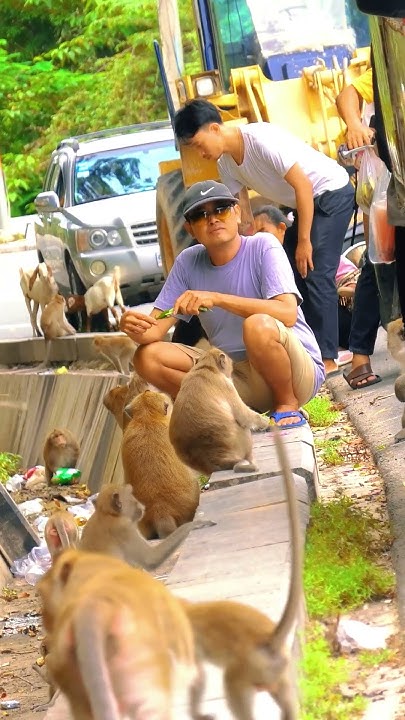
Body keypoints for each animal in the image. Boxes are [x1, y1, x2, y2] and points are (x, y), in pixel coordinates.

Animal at [79, 483, 213, 570]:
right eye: (133, 500)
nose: (141, 506)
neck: (107, 514)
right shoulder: (124, 529)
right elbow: (151, 558)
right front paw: (195, 523)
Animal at [181, 427, 302, 720]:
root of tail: (268, 640)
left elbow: (197, 677)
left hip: (246, 670)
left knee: (233, 685)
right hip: (277, 670)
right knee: (286, 699)